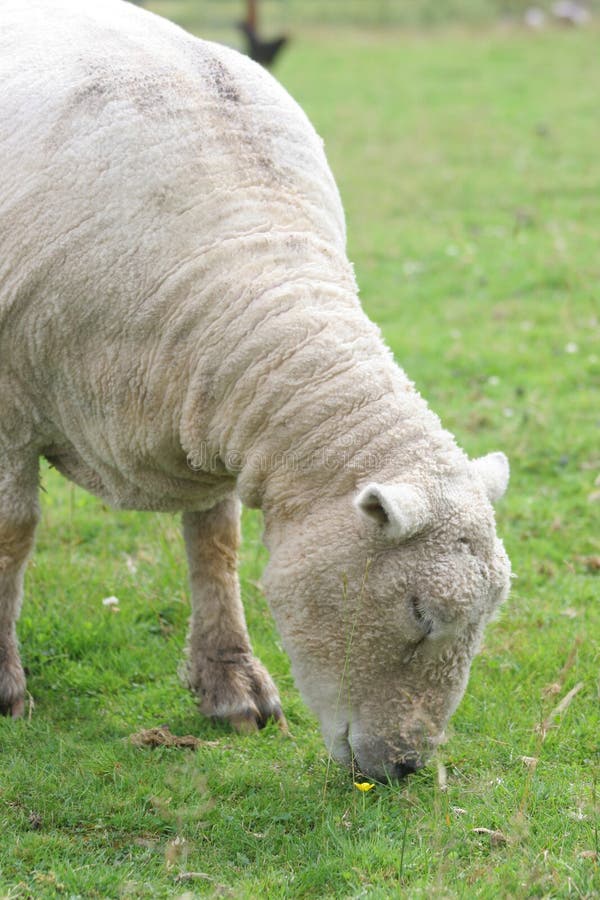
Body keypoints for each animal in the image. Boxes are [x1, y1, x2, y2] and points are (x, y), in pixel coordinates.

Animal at [0, 0, 511, 781]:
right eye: (421, 613)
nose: (405, 768)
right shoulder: (8, 403)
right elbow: (12, 534)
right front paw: (3, 688)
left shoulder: (203, 406)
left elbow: (216, 542)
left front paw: (230, 683)